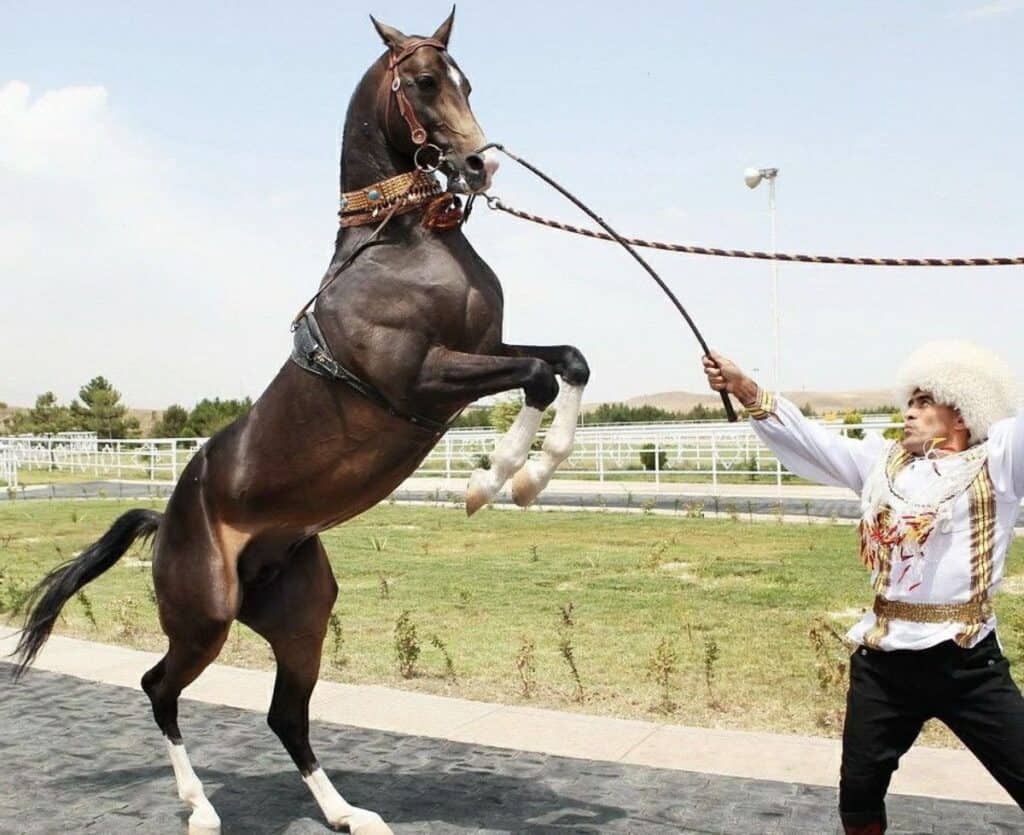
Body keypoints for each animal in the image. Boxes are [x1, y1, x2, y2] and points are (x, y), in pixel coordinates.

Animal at [11, 11, 589, 835]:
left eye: (468, 82)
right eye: (424, 82)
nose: (480, 165)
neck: (402, 242)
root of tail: (167, 514)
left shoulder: (480, 352)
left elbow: (569, 360)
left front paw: (535, 471)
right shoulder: (422, 377)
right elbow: (541, 374)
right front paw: (496, 479)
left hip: (301, 618)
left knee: (286, 715)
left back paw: (348, 813)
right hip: (205, 616)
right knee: (159, 687)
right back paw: (200, 808)